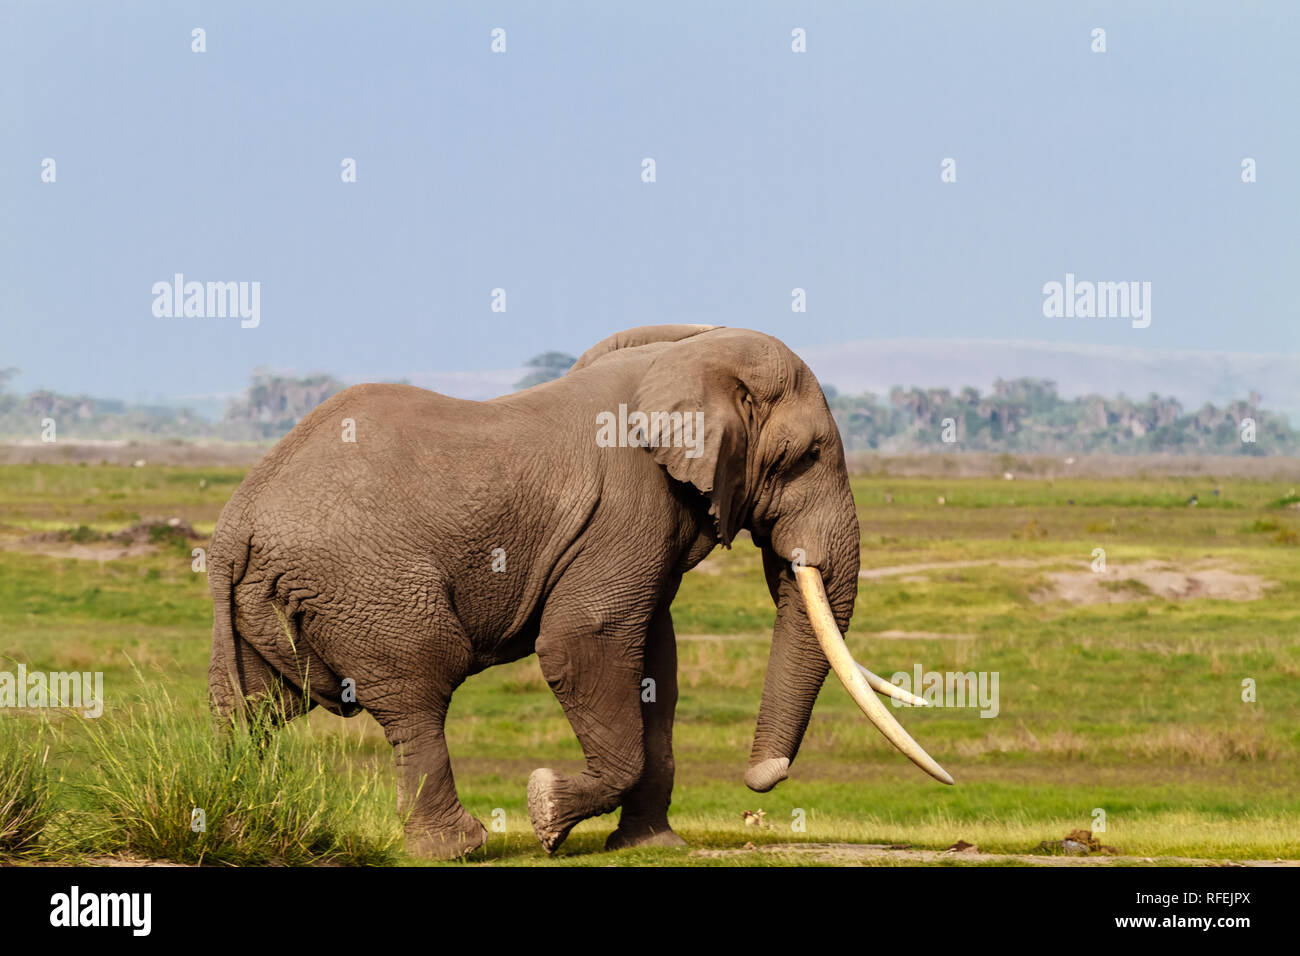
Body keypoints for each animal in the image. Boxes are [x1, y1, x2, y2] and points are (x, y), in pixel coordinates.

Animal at [207, 324, 951, 859]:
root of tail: (236, 523)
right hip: (369, 586)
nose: (763, 782)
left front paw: (652, 846)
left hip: (272, 604)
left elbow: (655, 666)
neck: (686, 353)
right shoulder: (629, 505)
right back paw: (460, 847)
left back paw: (227, 816)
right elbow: (584, 642)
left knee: (255, 707)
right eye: (807, 457)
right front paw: (544, 813)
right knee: (418, 688)